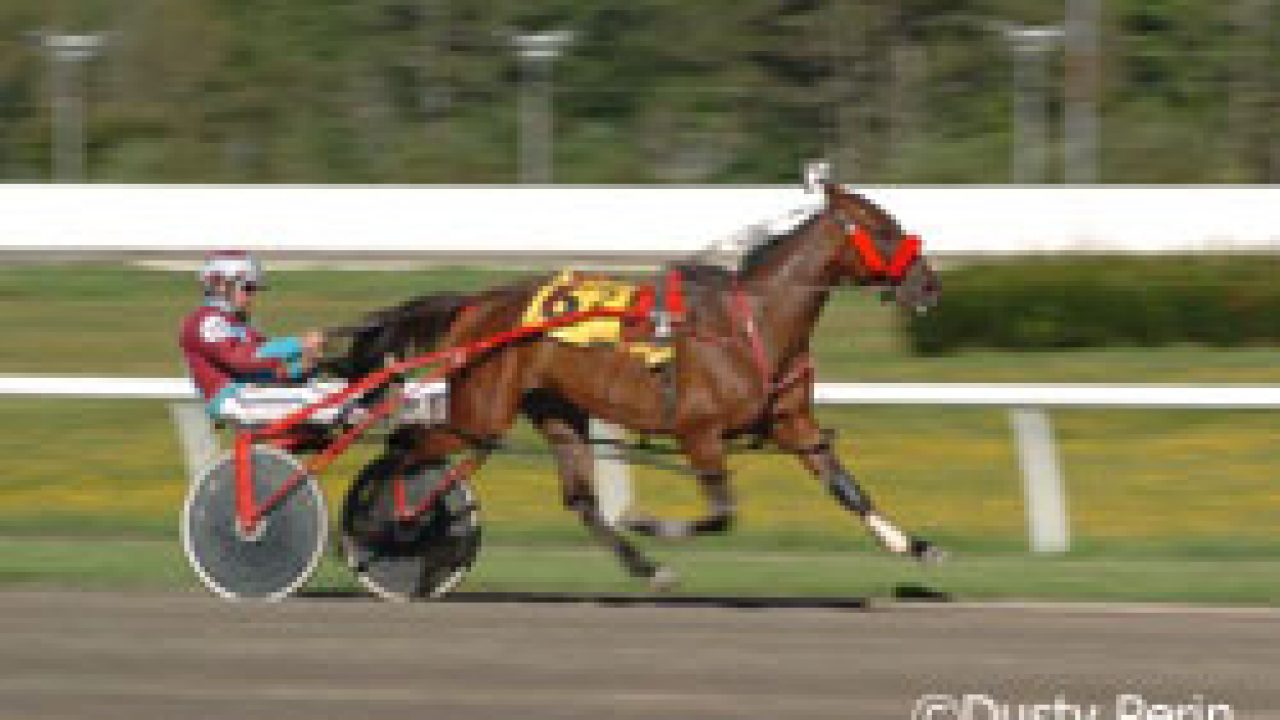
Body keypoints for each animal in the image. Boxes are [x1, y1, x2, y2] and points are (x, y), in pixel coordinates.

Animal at [329, 182, 942, 588]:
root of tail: (477, 303)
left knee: (578, 499)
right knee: (405, 448)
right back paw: (382, 527)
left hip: (552, 410)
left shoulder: (791, 423)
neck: (752, 325)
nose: (930, 285)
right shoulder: (699, 430)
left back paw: (646, 568)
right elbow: (722, 511)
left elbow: (846, 489)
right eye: (885, 229)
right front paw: (651, 522)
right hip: (480, 411)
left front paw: (917, 547)